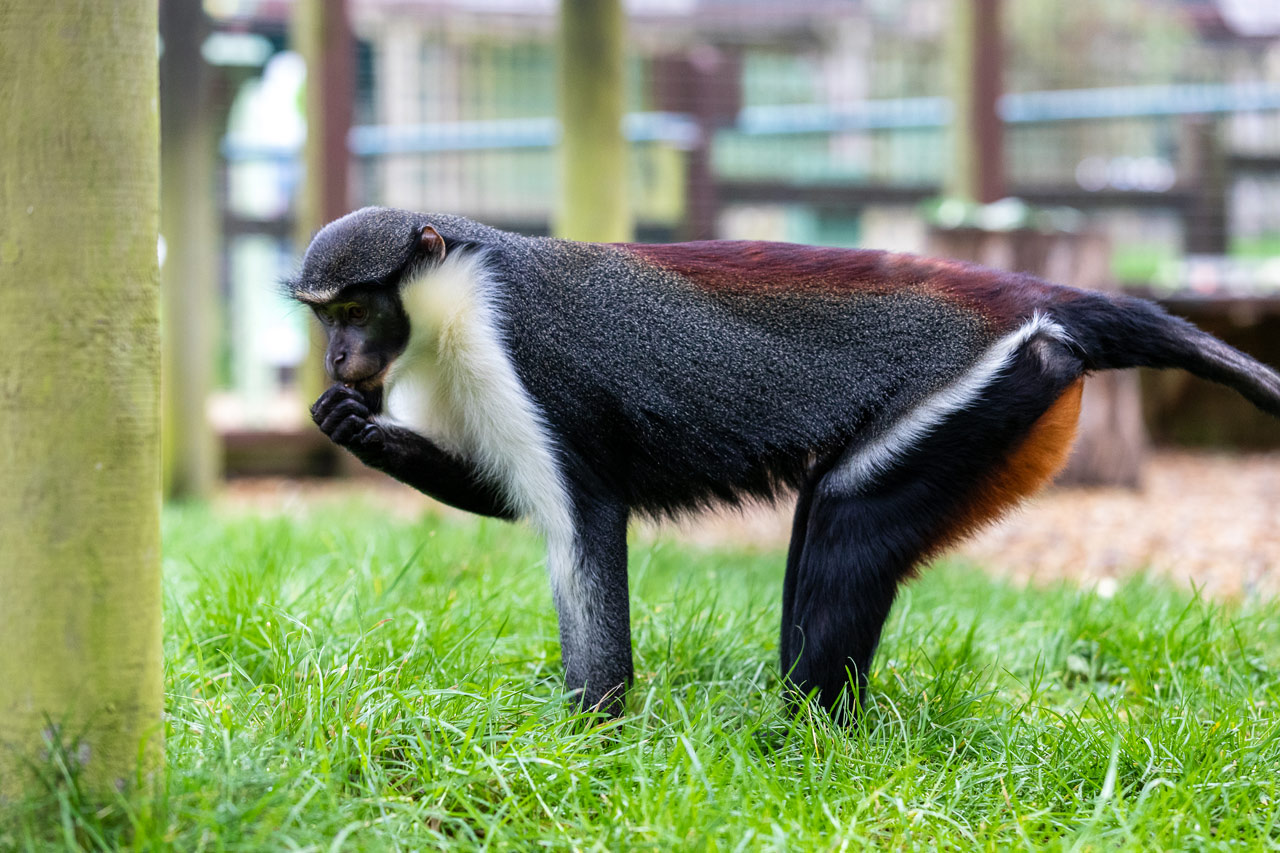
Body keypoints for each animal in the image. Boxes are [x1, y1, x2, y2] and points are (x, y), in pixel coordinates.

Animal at [289, 206, 1280, 722]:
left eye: (355, 308)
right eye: (323, 315)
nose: (338, 357)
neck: (455, 289)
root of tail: (1037, 295)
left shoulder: (517, 356)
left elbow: (583, 521)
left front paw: (590, 733)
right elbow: (506, 497)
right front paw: (353, 426)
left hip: (990, 387)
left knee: (847, 524)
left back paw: (803, 733)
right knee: (825, 523)